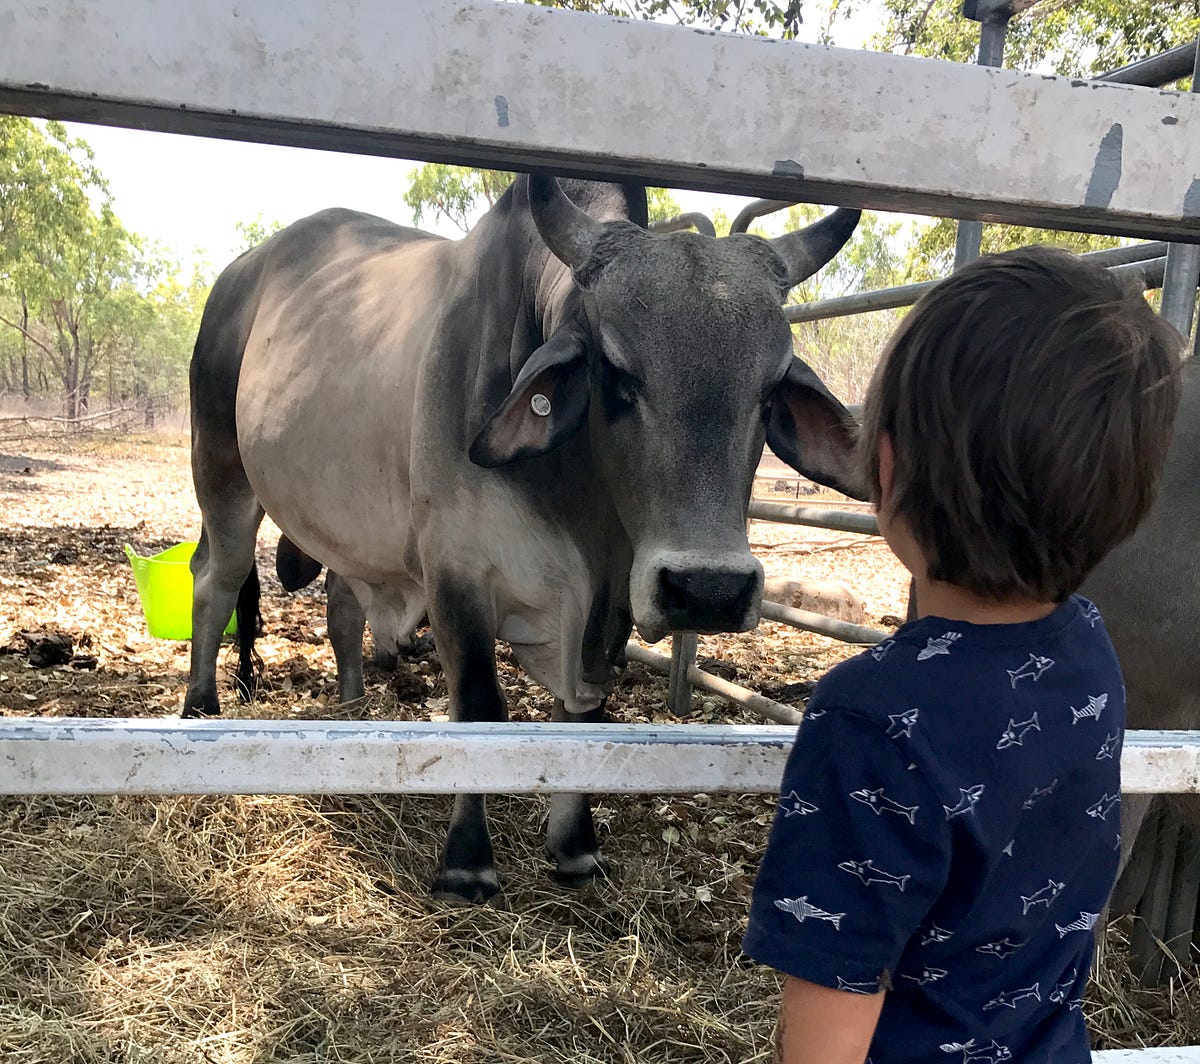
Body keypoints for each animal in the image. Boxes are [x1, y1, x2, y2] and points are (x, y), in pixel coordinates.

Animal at [185, 175, 863, 903]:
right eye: (617, 374)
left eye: (770, 390)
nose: (708, 590)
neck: (578, 507)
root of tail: (242, 272)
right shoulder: (457, 572)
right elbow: (481, 706)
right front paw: (466, 862)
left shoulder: (610, 603)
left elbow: (583, 715)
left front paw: (575, 846)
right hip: (220, 469)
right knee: (216, 581)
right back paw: (199, 706)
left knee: (342, 610)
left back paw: (354, 704)